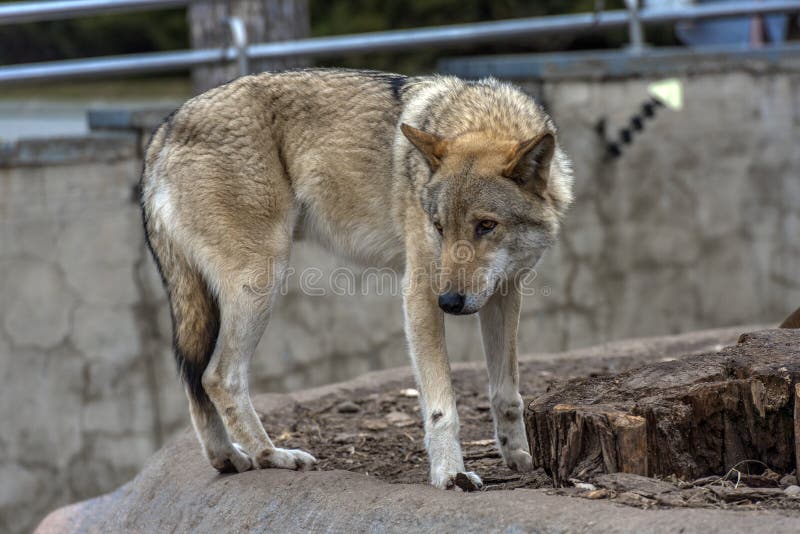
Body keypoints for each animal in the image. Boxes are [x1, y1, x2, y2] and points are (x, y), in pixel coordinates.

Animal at [140, 69, 573, 489]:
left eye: (486, 225)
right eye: (439, 227)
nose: (449, 302)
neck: (480, 114)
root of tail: (164, 129)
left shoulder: (505, 292)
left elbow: (506, 392)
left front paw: (520, 457)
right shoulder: (419, 292)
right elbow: (442, 406)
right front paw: (450, 474)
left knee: (197, 381)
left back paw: (228, 458)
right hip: (261, 281)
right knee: (218, 377)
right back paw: (272, 455)